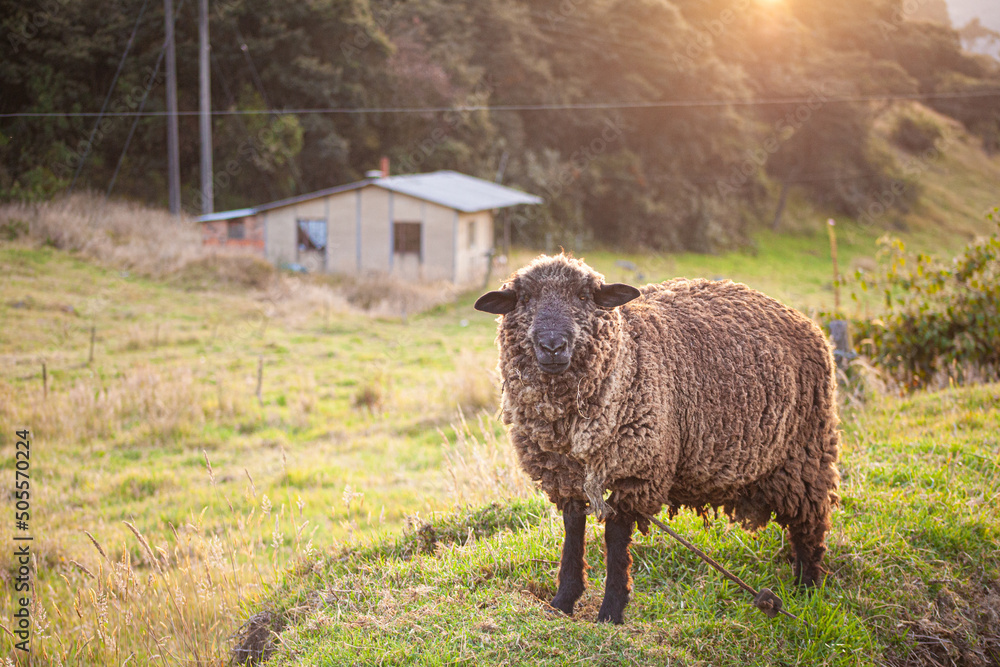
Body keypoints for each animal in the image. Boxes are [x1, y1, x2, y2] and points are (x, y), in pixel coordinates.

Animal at [474, 254, 840, 624]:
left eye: (583, 296)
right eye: (524, 299)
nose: (552, 346)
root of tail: (801, 320)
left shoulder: (636, 471)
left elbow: (616, 537)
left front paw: (611, 609)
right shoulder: (563, 475)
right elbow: (573, 530)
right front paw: (563, 600)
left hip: (805, 453)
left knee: (811, 523)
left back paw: (806, 587)